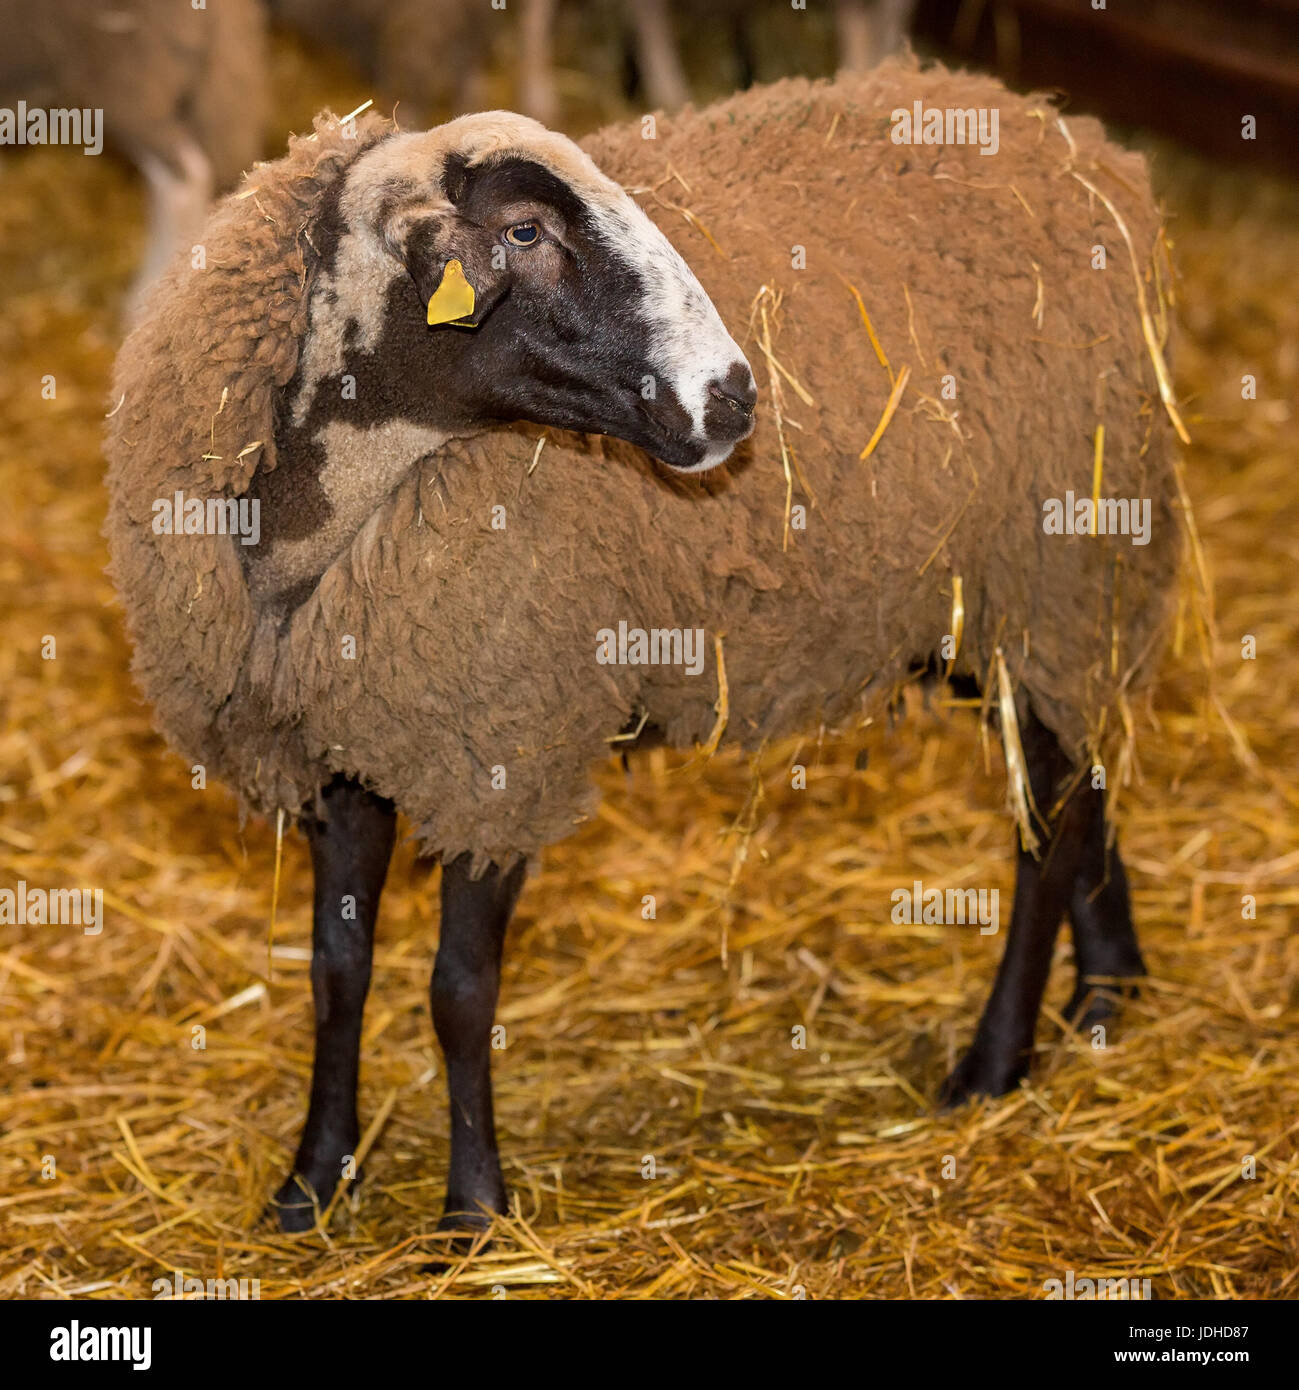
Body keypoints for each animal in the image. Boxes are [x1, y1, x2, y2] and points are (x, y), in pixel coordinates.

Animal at [105, 59, 1182, 1237]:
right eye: (524, 230)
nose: (735, 398)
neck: (315, 531)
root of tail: (1073, 140)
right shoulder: (344, 749)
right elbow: (336, 971)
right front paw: (311, 1184)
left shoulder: (499, 748)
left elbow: (458, 991)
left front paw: (473, 1215)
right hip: (1016, 613)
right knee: (1087, 772)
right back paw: (1109, 990)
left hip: (1055, 573)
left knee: (1044, 834)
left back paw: (996, 1062)